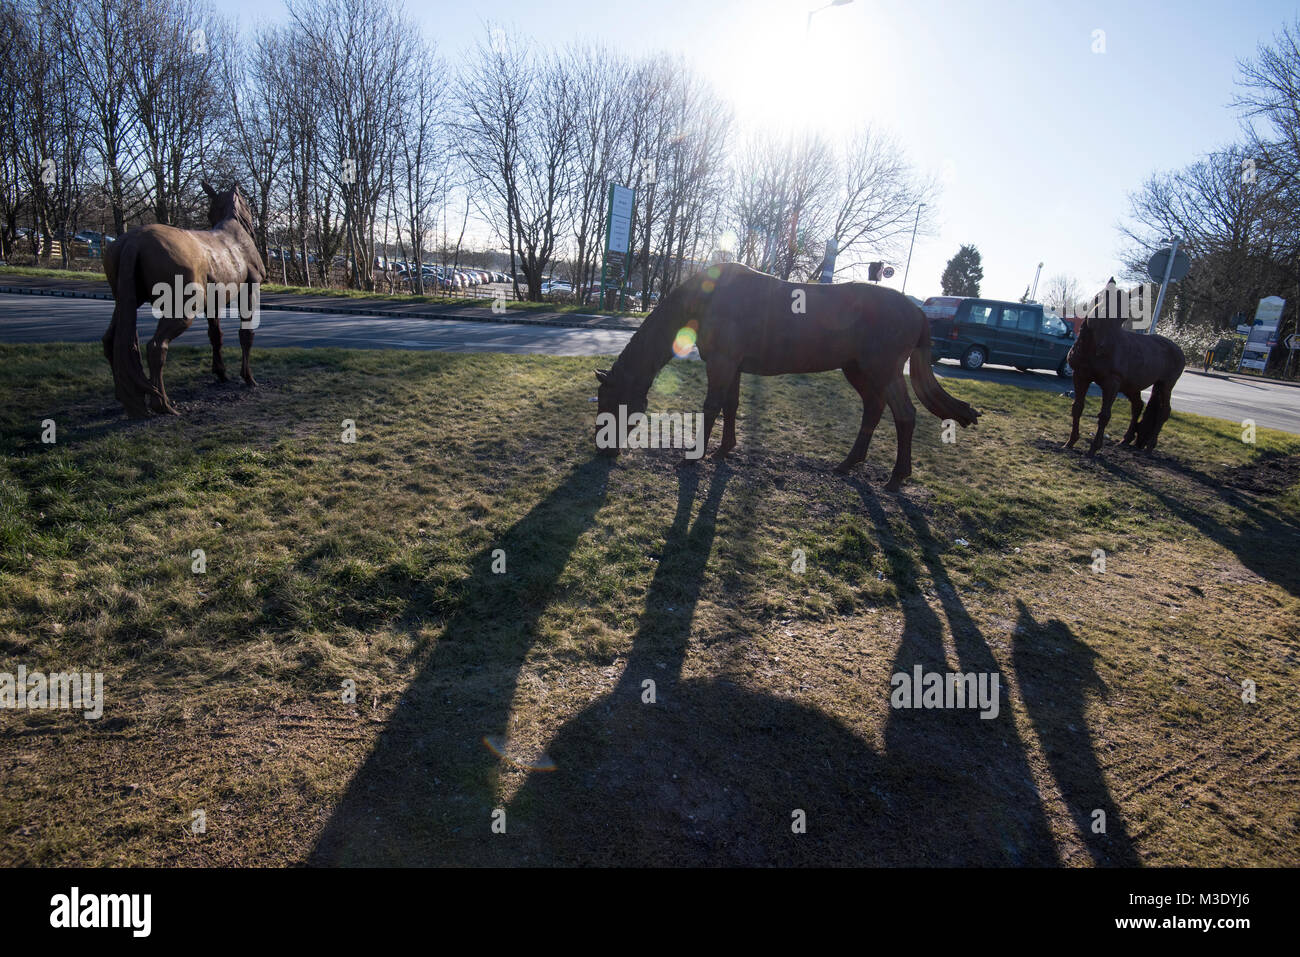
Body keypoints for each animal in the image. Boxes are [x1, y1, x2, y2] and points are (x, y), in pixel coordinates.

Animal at [102, 182, 265, 417]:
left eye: (209, 212)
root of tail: (133, 242)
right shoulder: (251, 288)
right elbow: (246, 335)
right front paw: (248, 377)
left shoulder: (213, 302)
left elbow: (216, 336)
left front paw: (221, 373)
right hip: (181, 309)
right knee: (156, 347)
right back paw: (162, 403)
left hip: (125, 301)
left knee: (110, 341)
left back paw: (126, 396)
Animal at [593, 262, 980, 491]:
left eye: (611, 403)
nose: (603, 452)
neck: (708, 299)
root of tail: (917, 311)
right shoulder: (733, 365)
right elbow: (731, 406)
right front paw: (724, 450)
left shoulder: (721, 362)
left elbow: (712, 406)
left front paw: (696, 453)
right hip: (858, 370)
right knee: (874, 409)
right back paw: (848, 464)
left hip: (882, 369)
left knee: (904, 415)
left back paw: (897, 476)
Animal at [1064, 279, 1186, 456]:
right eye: (1100, 308)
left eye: (1123, 318)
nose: (1104, 348)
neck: (1090, 351)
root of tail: (1178, 349)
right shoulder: (1080, 375)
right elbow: (1077, 407)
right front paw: (1070, 442)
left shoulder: (1112, 383)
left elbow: (1104, 415)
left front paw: (1093, 449)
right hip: (1131, 386)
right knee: (1138, 406)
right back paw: (1125, 440)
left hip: (1165, 385)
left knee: (1164, 411)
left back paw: (1150, 446)